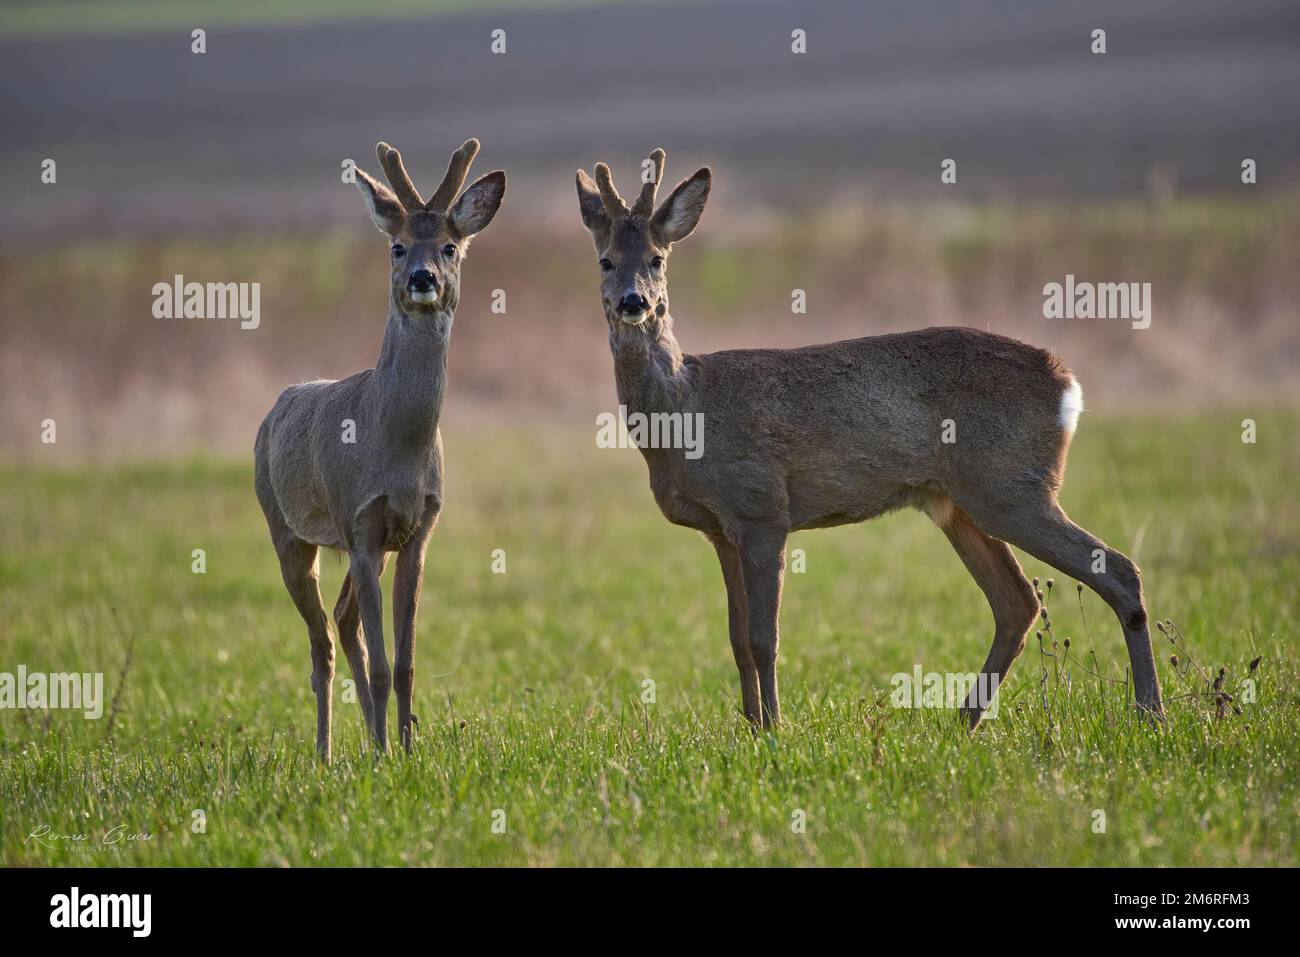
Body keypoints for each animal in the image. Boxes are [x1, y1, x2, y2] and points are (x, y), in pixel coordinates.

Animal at [254, 139, 505, 760]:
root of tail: (276, 406)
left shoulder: (414, 533)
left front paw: (407, 751)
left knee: (343, 624)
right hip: (288, 531)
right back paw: (325, 754)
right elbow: (383, 665)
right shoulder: (360, 522)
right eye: (397, 245)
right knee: (320, 642)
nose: (421, 276)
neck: (397, 448)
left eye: (449, 245)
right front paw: (388, 754)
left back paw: (367, 742)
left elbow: (407, 661)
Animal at [575, 149, 1164, 731]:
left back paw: (1150, 713)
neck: (687, 412)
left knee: (1118, 570)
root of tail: (1067, 382)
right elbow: (738, 640)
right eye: (605, 260)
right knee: (1018, 602)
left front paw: (775, 730)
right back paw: (962, 722)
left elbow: (765, 639)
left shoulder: (761, 508)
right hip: (958, 502)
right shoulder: (720, 531)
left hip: (1012, 487)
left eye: (657, 258)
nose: (633, 301)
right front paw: (751, 728)